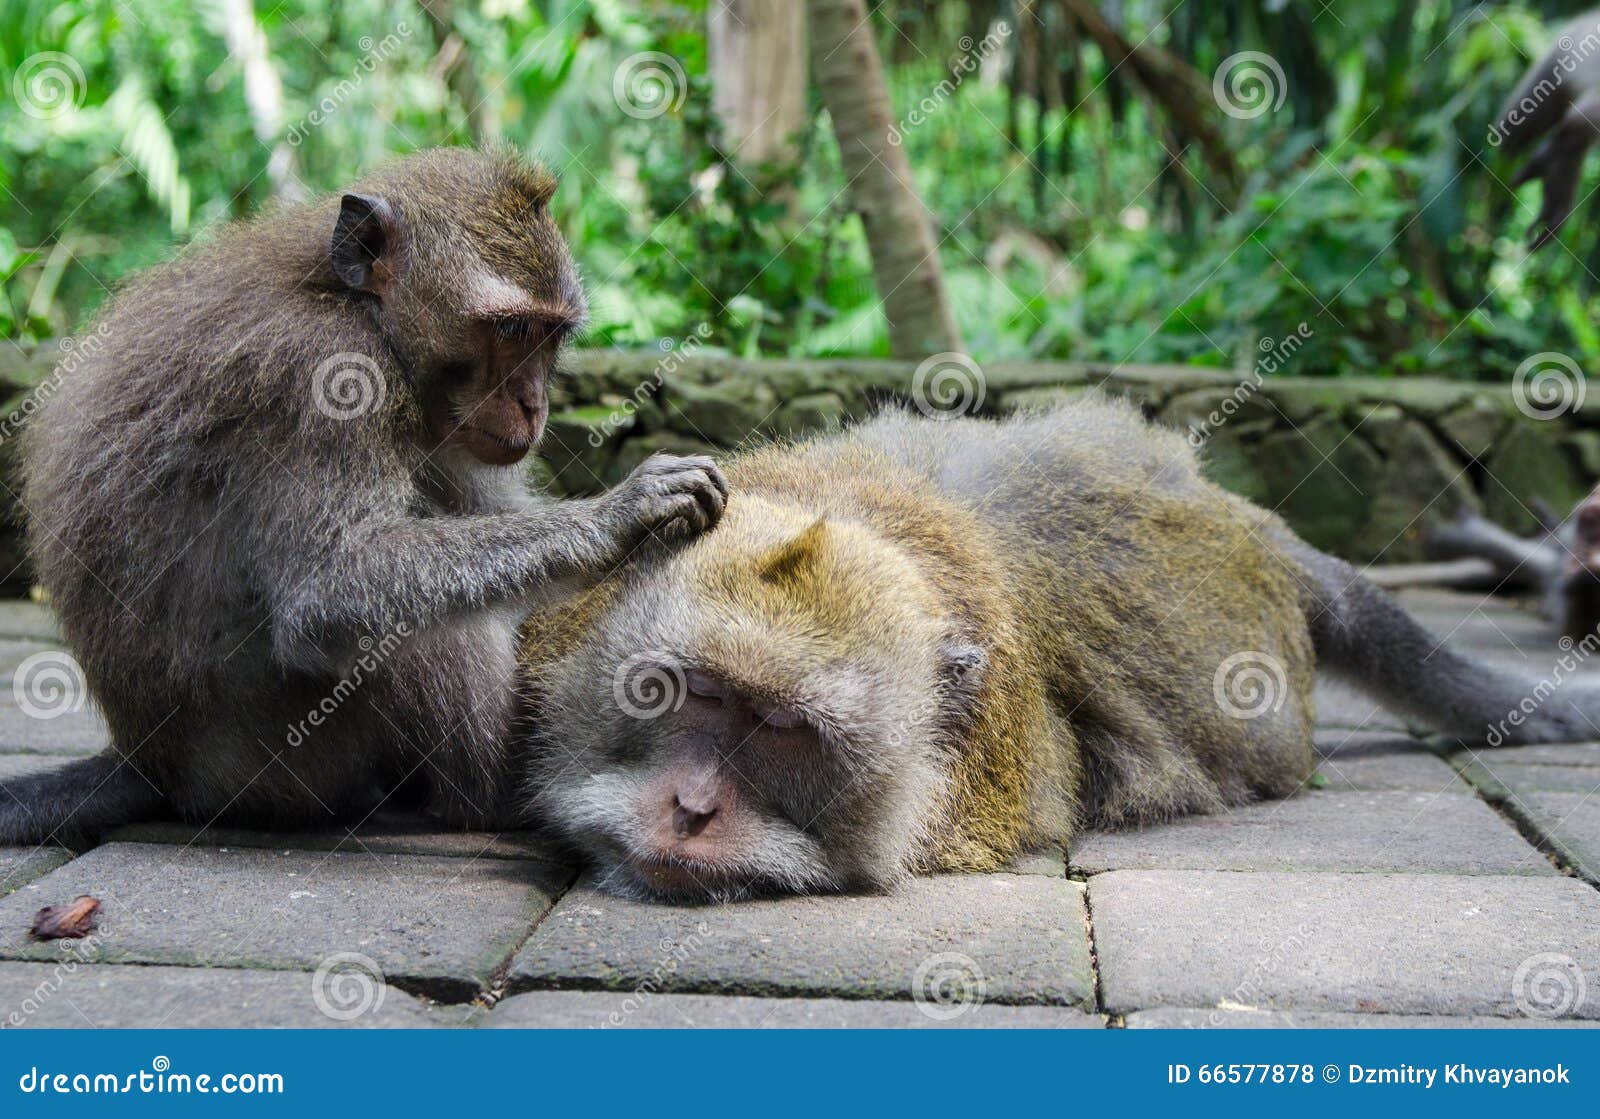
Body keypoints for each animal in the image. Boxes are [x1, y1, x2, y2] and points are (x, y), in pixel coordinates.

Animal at [0, 147, 727, 848]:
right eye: (512, 331)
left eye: (550, 336)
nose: (533, 404)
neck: (359, 311)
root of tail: (152, 763)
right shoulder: (323, 374)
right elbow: (327, 590)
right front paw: (616, 516)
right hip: (279, 758)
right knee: (410, 624)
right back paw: (507, 790)